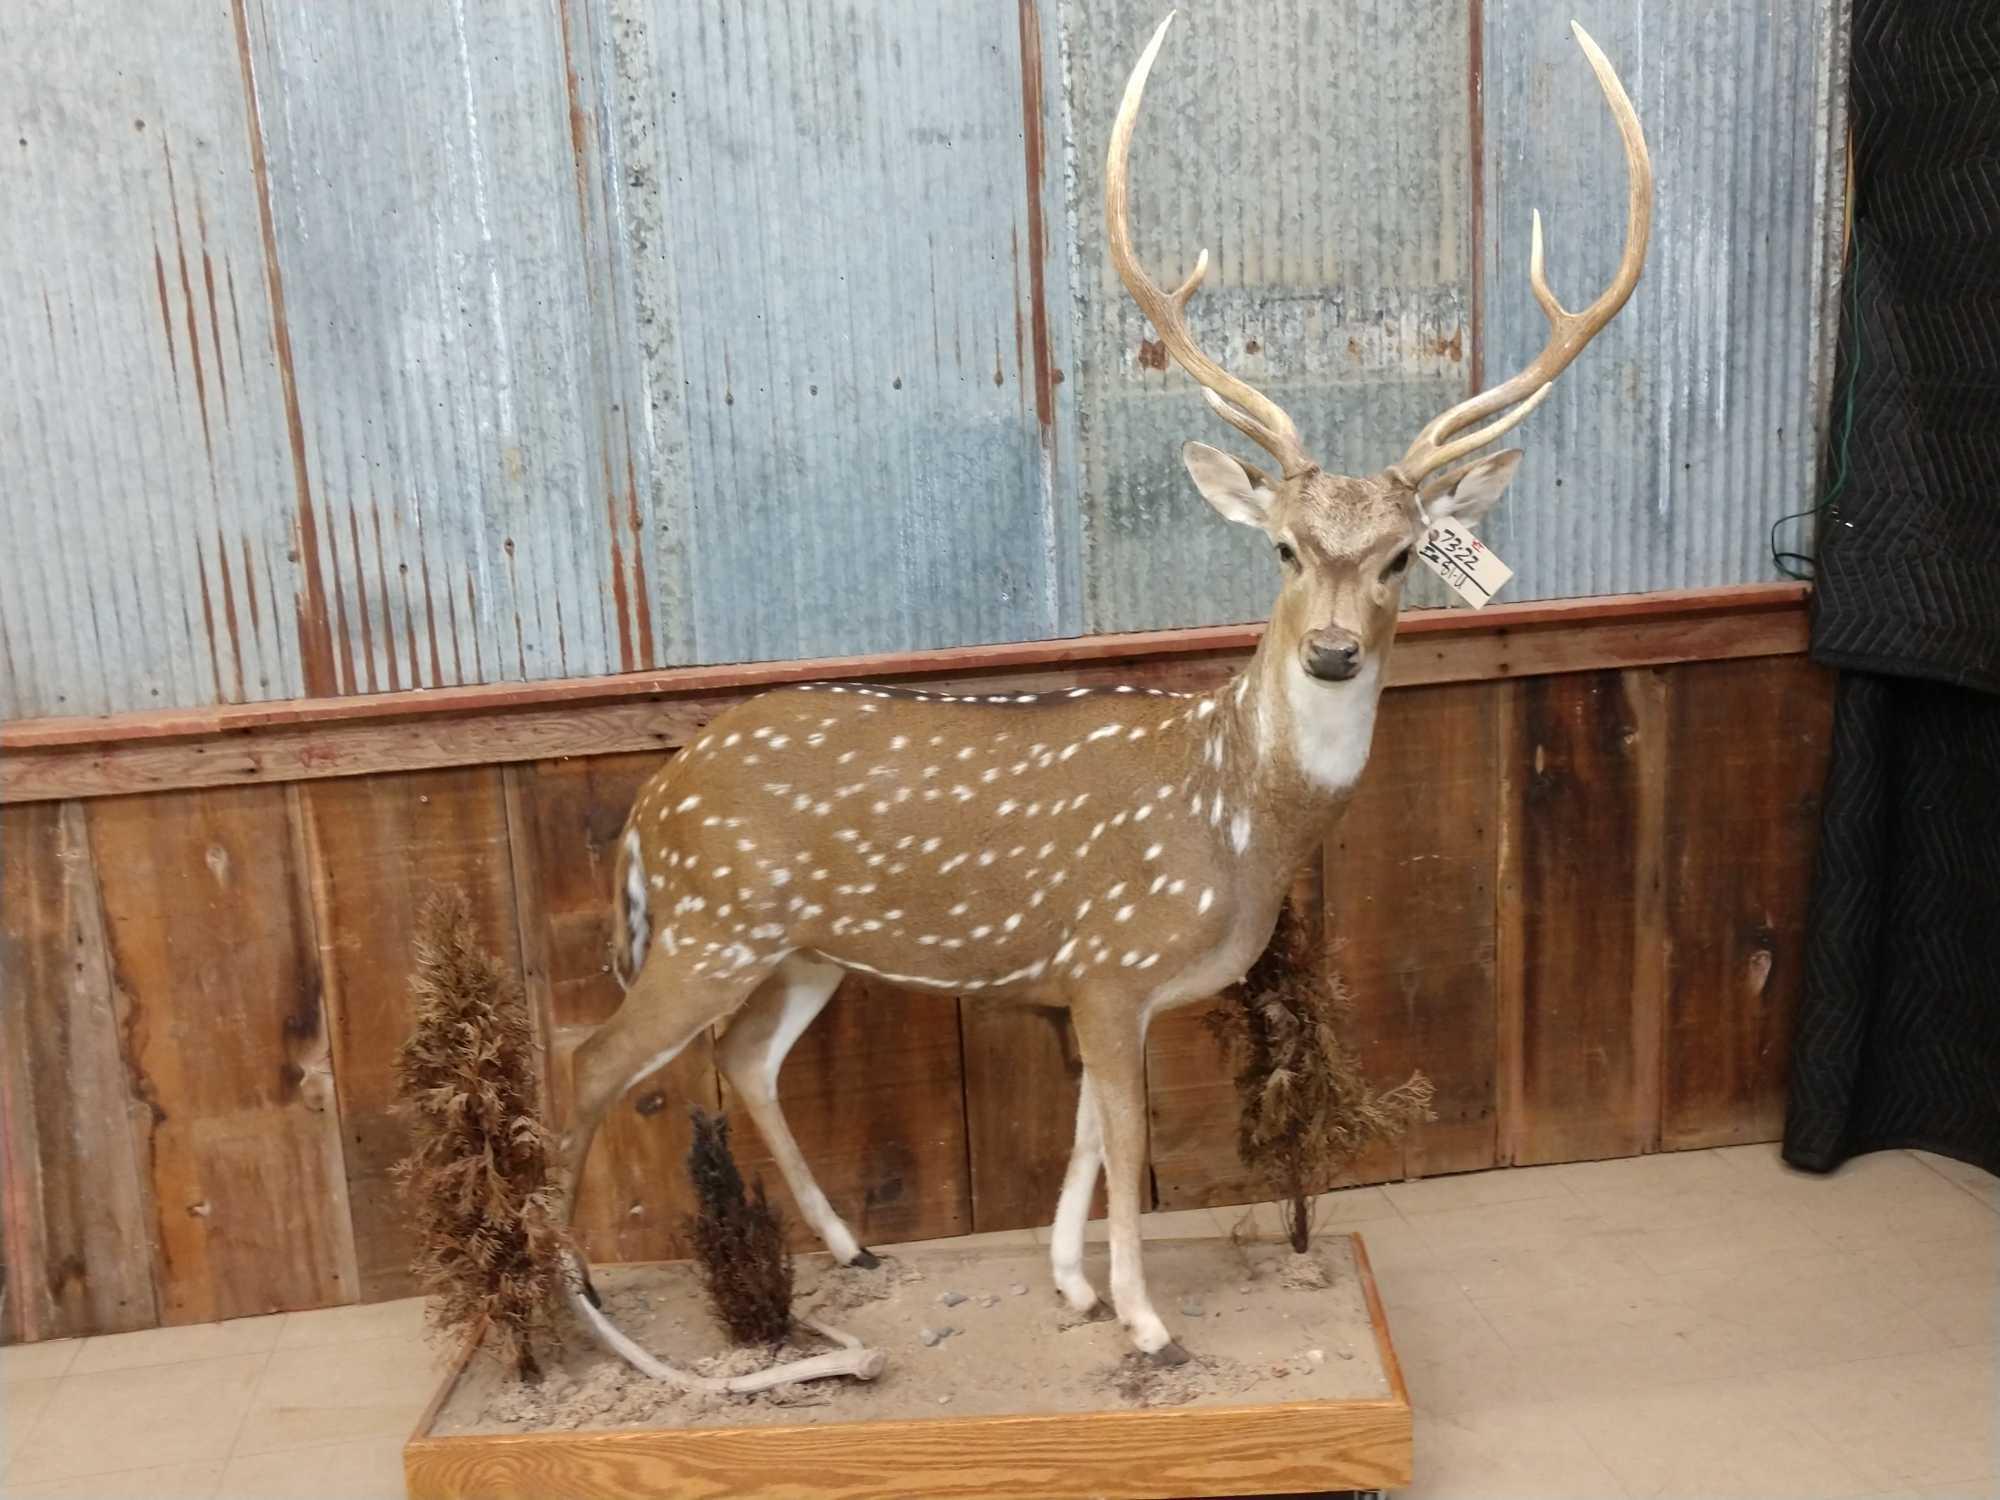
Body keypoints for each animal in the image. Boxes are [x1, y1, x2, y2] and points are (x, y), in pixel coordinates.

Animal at [555, 11, 1651, 1381]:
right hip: (709, 924)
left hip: (800, 947)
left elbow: (1082, 1133)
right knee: (589, 1062)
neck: (1237, 819)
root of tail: (647, 806)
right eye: (1282, 548)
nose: (1331, 652)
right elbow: (1126, 1145)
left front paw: (1072, 1285)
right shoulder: (1117, 963)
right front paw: (1145, 1318)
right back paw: (579, 1316)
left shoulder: (1088, 976)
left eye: (1402, 557)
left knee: (745, 1061)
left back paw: (852, 1253)